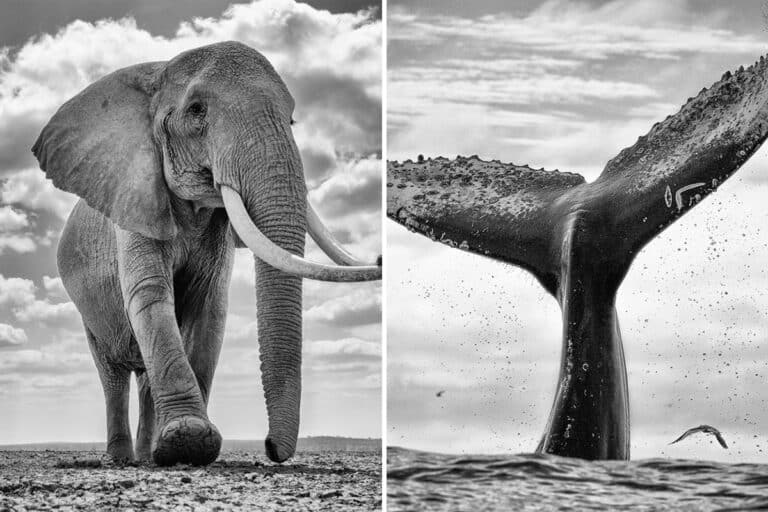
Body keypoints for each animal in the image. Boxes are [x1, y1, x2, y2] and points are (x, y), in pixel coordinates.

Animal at [32, 41, 381, 466]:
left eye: (292, 120)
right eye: (197, 109)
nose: (270, 448)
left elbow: (209, 306)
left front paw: (183, 446)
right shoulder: (134, 198)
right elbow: (150, 295)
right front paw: (190, 441)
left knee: (144, 373)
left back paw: (148, 455)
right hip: (88, 312)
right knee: (111, 372)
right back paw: (123, 459)